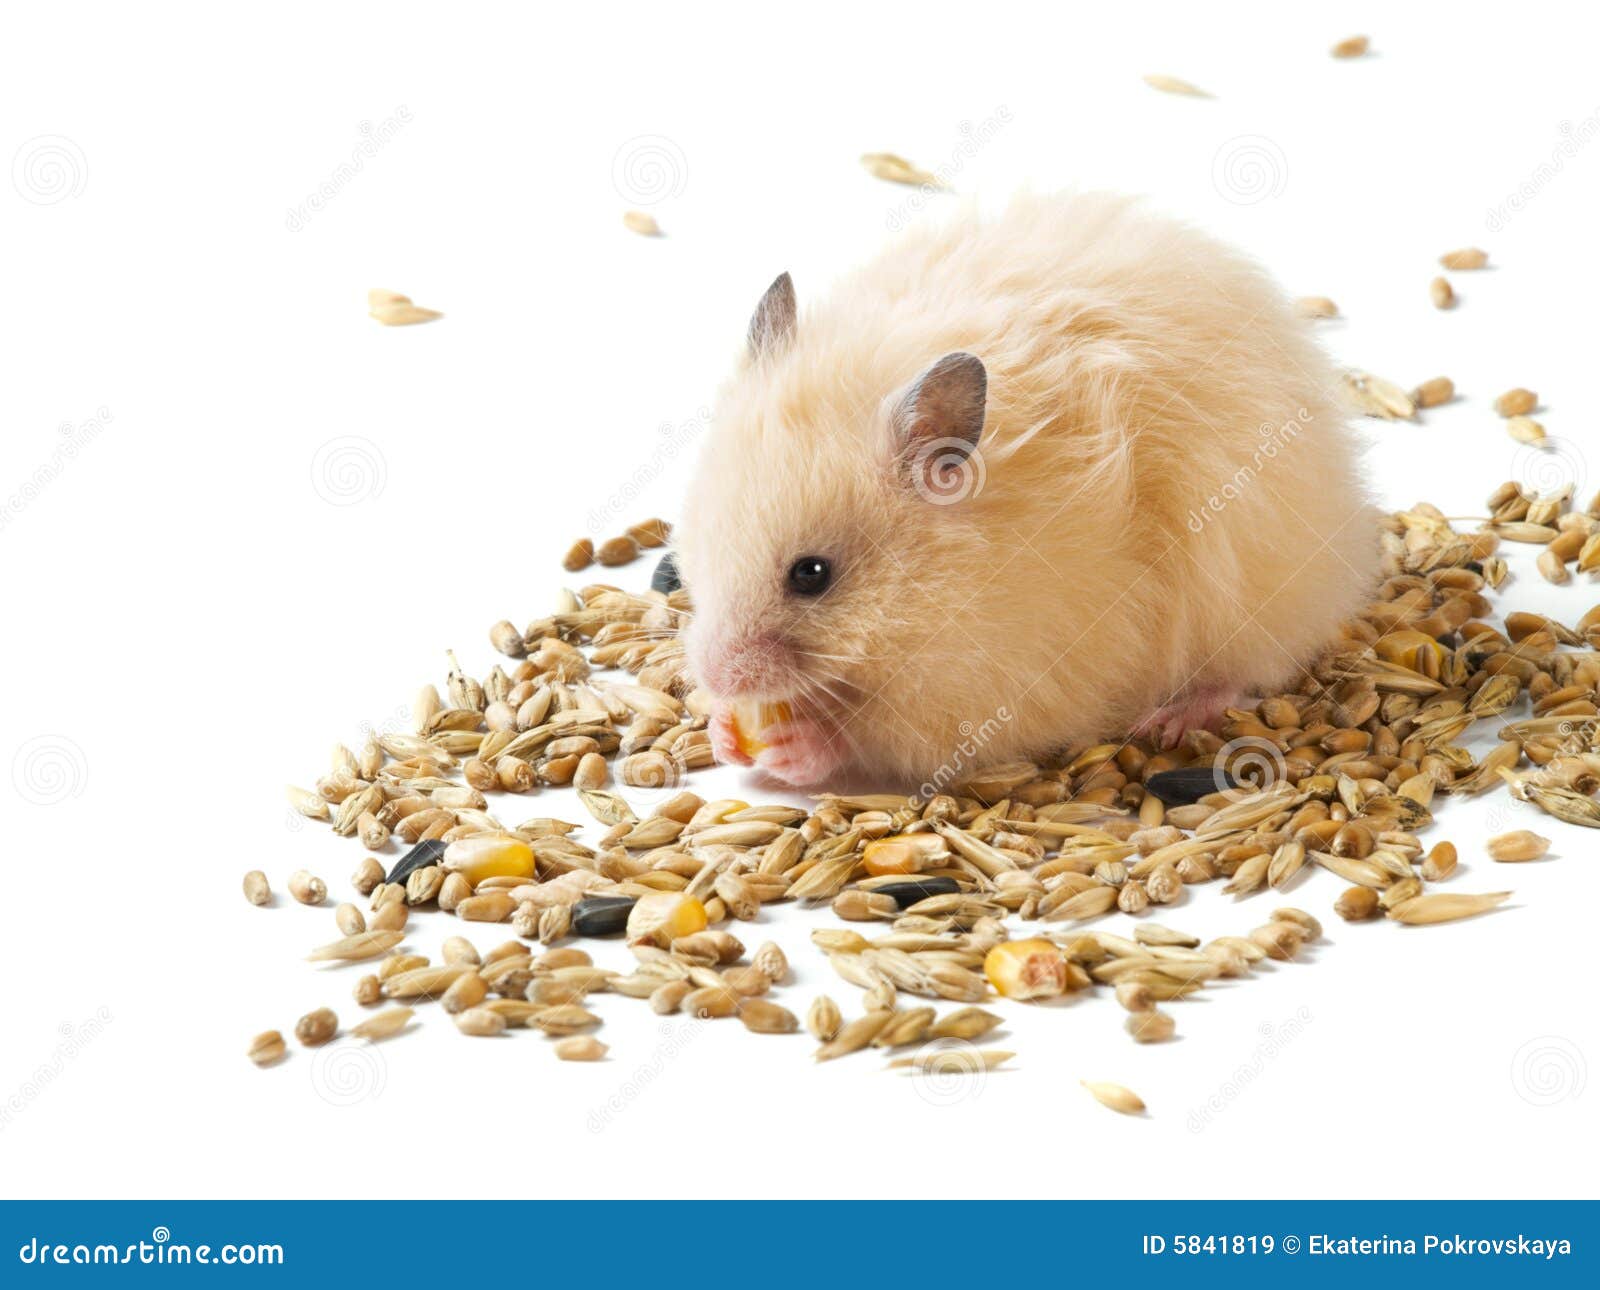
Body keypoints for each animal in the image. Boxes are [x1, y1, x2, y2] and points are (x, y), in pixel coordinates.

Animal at [674, 192, 1375, 789]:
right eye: (702, 540)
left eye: (812, 575)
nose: (715, 674)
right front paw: (723, 733)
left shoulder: (1008, 679)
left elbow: (881, 736)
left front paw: (795, 744)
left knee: (1245, 669)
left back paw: (1171, 721)